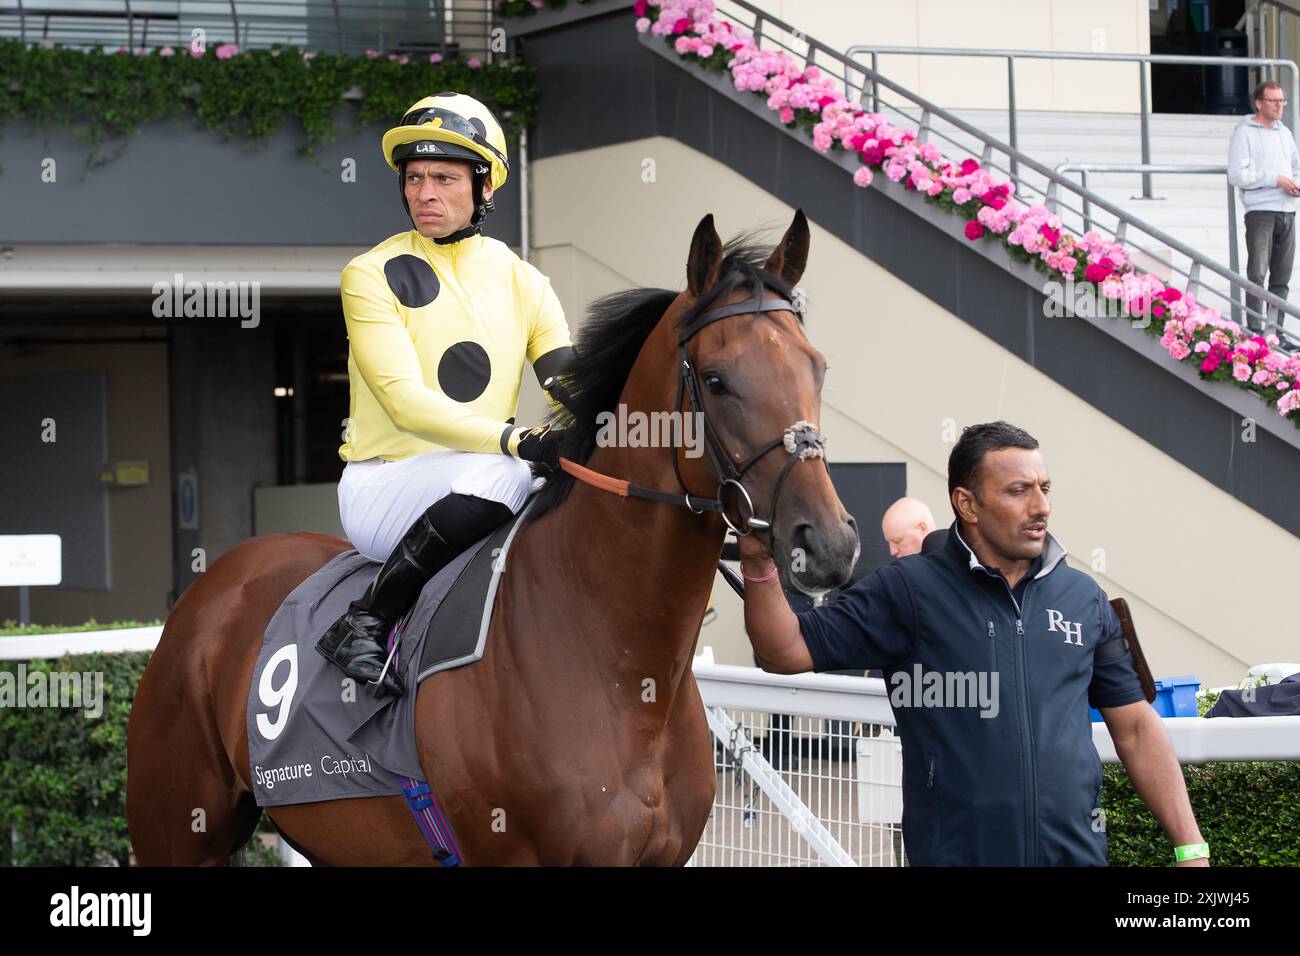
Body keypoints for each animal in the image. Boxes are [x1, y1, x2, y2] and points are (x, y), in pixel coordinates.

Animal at [126, 209, 860, 865]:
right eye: (717, 379)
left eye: (818, 367)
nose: (827, 543)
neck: (619, 662)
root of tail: (214, 587)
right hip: (178, 832)